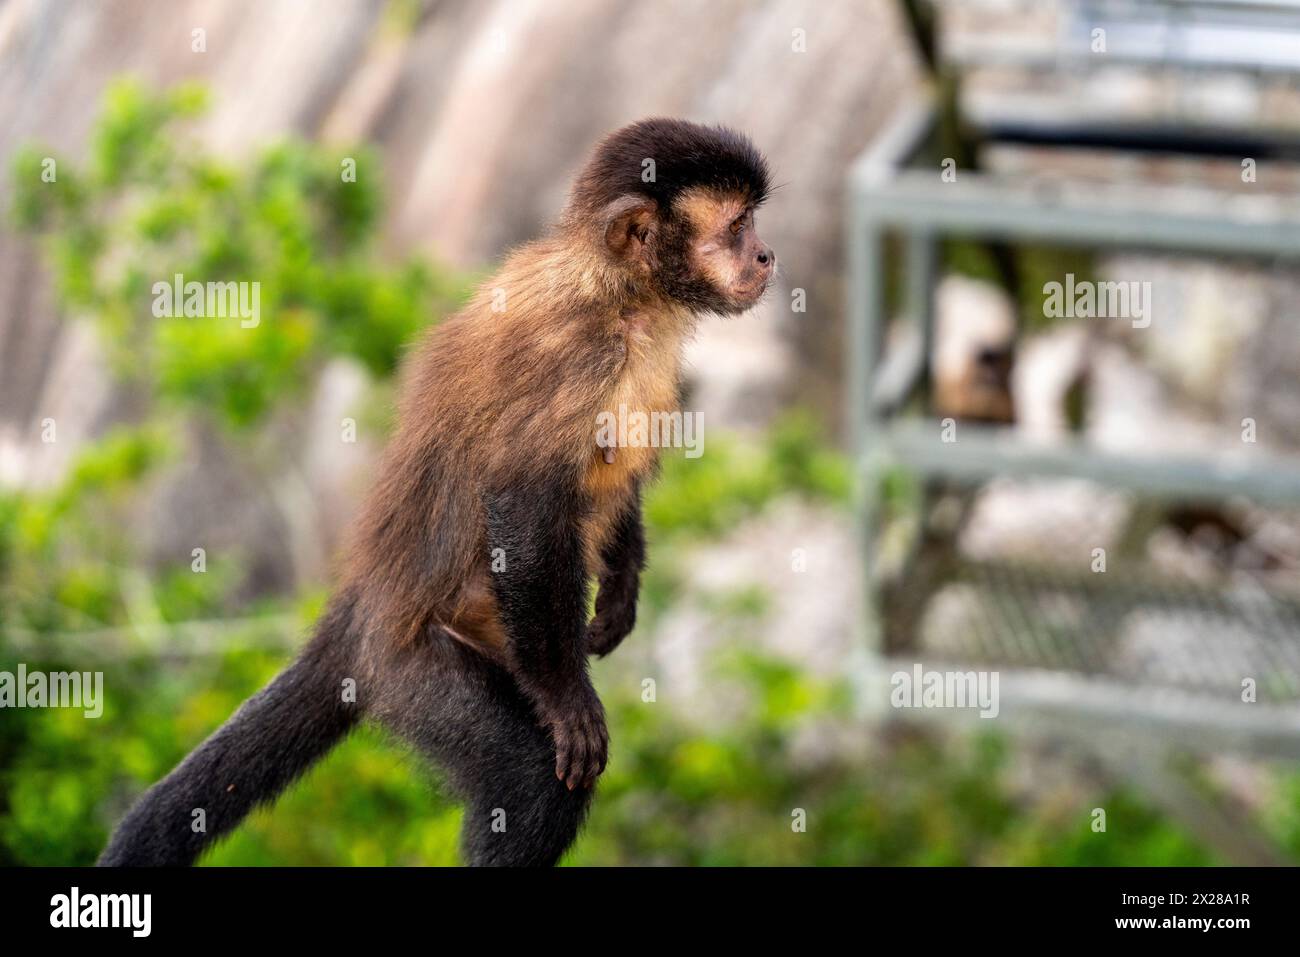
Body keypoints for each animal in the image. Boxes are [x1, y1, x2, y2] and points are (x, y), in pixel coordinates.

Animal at [98, 118, 775, 867]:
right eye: (737, 226)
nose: (766, 254)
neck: (622, 293)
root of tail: (361, 610)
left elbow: (620, 487)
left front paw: (621, 592)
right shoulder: (575, 354)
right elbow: (521, 505)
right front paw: (566, 699)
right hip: (409, 666)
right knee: (531, 775)